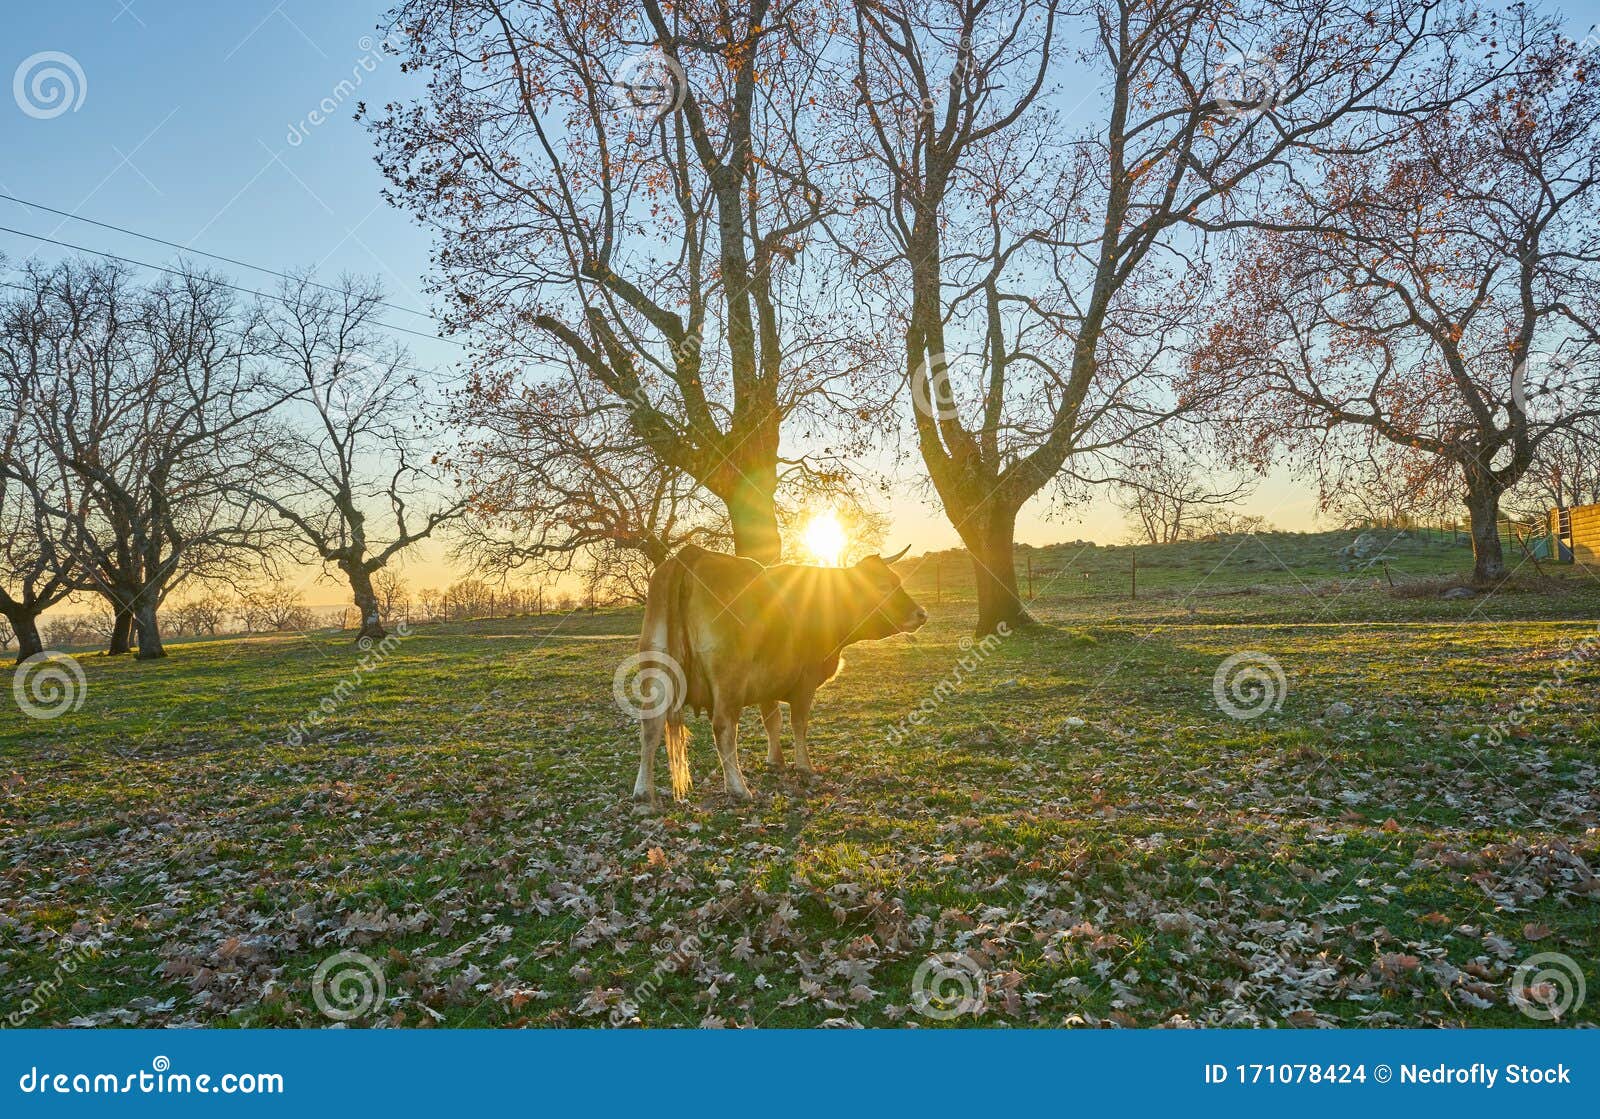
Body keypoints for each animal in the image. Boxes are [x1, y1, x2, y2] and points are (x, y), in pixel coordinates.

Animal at [630, 543, 928, 805]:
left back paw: (643, 792)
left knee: (650, 728)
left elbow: (773, 721)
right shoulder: (805, 681)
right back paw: (738, 788)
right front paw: (804, 766)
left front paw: (776, 761)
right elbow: (799, 723)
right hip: (729, 681)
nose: (921, 614)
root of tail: (693, 554)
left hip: (657, 671)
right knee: (724, 727)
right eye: (883, 586)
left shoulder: (767, 683)